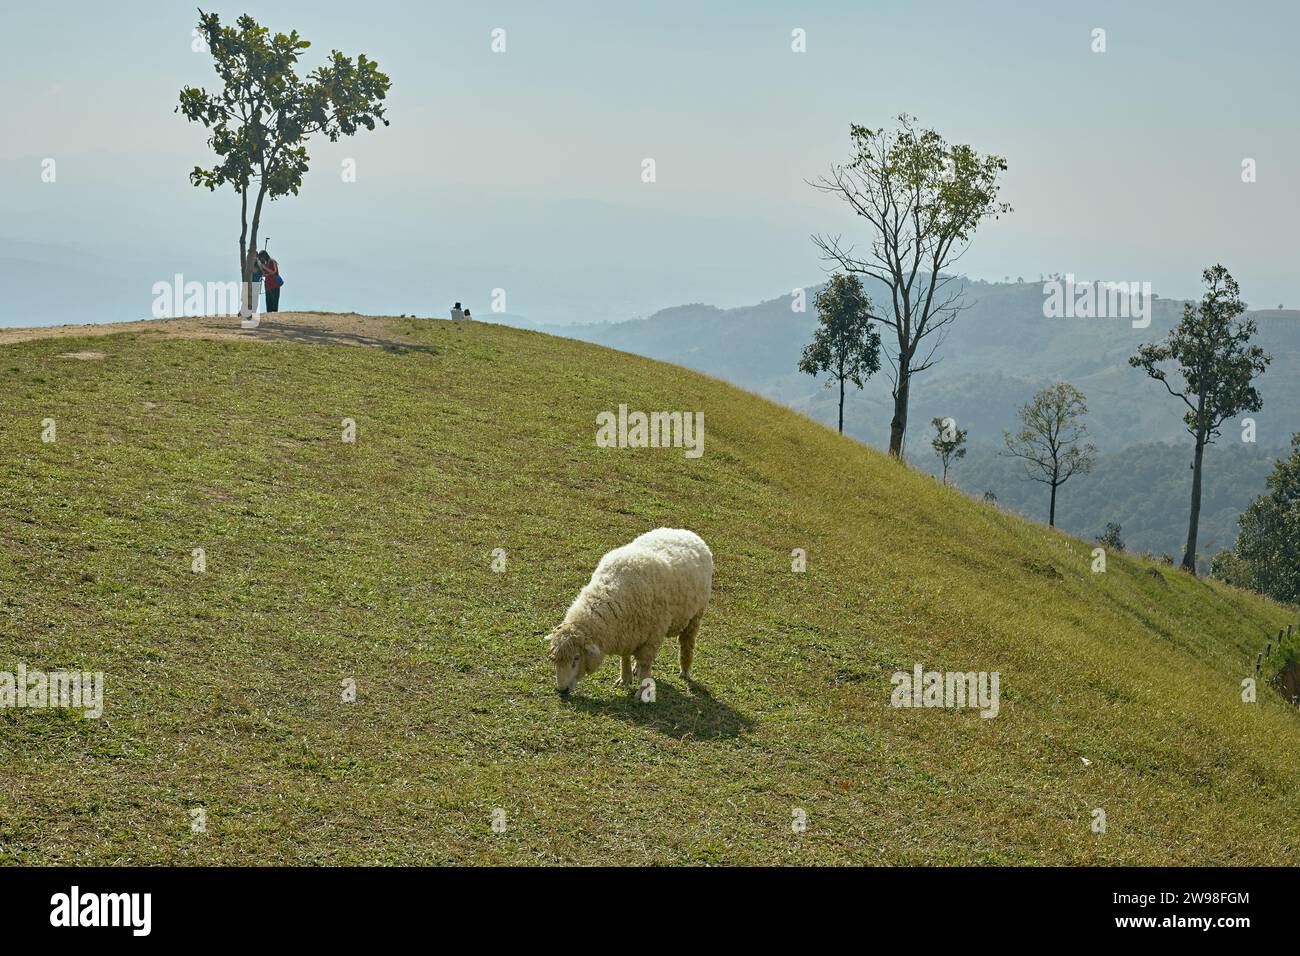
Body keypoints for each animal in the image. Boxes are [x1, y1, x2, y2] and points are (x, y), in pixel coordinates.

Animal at [545, 528, 713, 698]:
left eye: (576, 658)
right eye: (554, 660)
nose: (562, 691)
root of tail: (685, 532)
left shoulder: (652, 636)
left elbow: (646, 664)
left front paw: (643, 690)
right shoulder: (626, 633)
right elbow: (625, 657)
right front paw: (624, 678)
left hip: (695, 616)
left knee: (686, 643)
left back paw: (684, 671)